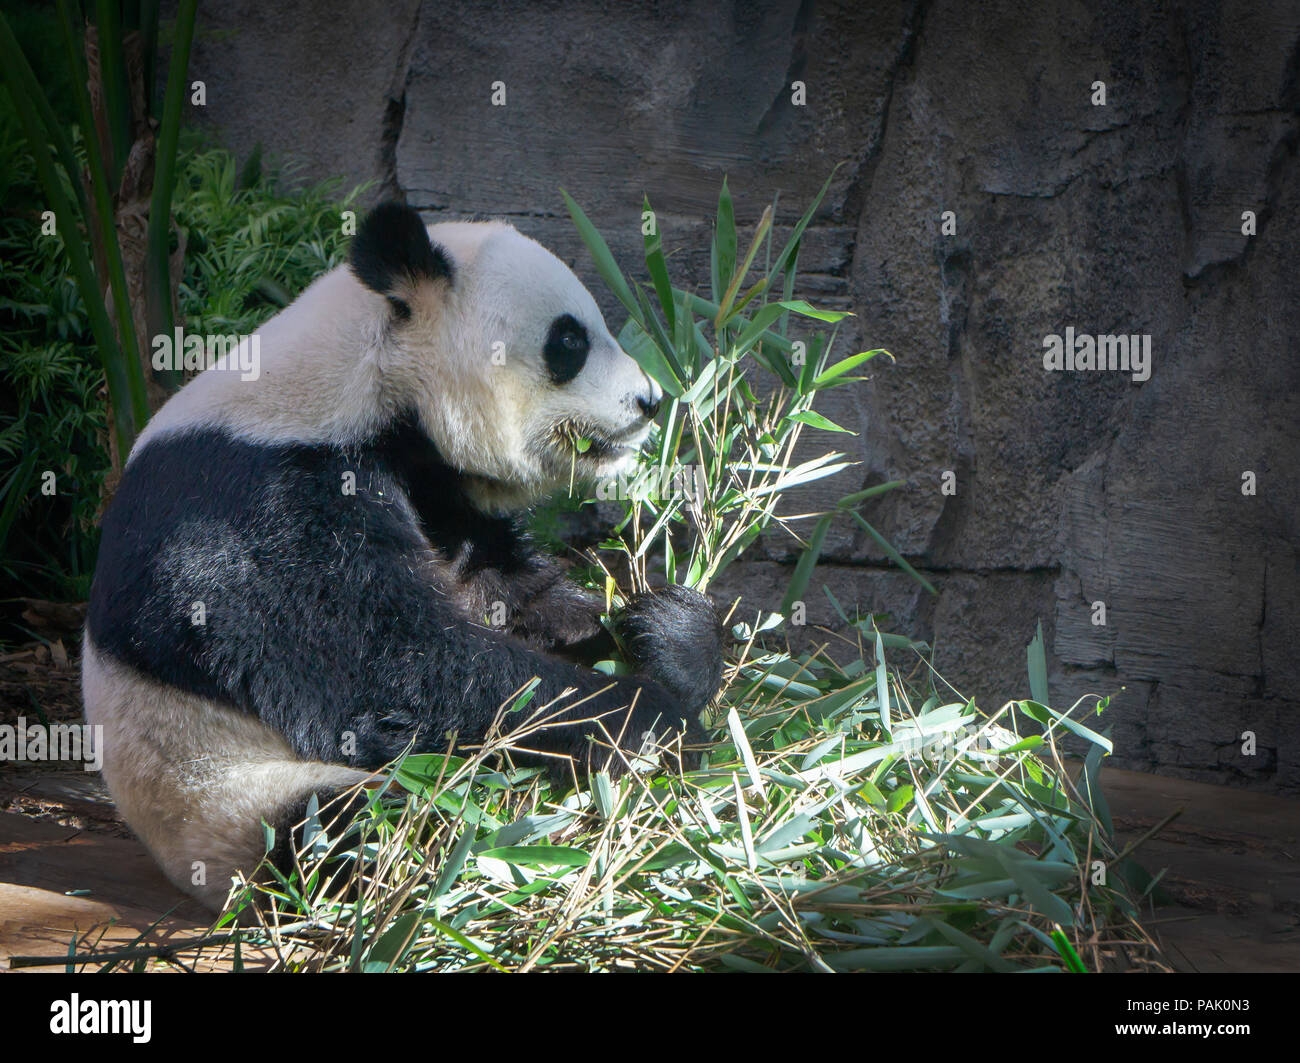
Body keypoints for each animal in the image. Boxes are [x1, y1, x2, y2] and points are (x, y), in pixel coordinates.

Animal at [82, 202, 724, 910]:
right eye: (569, 341)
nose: (650, 401)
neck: (363, 379)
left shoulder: (439, 492)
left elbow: (516, 599)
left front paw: (667, 630)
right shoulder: (256, 503)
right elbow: (388, 667)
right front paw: (650, 721)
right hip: (225, 795)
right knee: (359, 822)